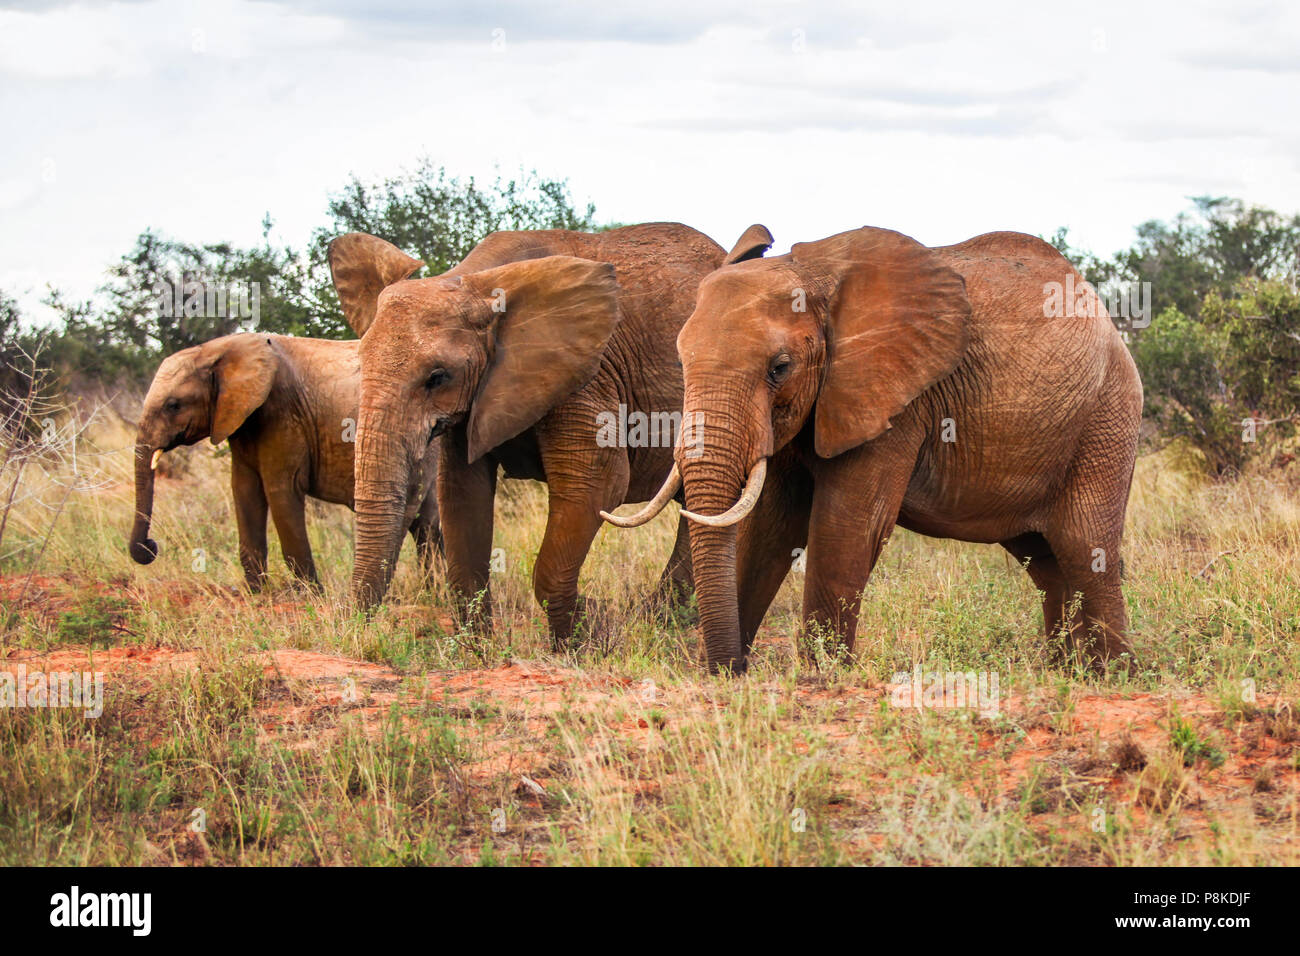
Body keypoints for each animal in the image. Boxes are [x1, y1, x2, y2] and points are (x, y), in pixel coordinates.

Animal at [129, 331, 441, 591]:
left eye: (173, 405)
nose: (150, 547)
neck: (218, 349)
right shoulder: (244, 423)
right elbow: (244, 490)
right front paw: (258, 595)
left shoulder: (283, 416)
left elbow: (281, 492)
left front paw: (312, 597)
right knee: (426, 520)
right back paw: (435, 592)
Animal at [330, 221, 773, 645]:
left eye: (437, 377)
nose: (356, 627)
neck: (473, 280)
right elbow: (461, 495)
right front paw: (479, 649)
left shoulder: (586, 372)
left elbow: (598, 484)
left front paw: (585, 638)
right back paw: (659, 620)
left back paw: (656, 622)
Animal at [605, 226, 1143, 674]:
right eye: (680, 360)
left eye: (779, 368)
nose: (727, 668)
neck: (812, 275)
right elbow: (771, 526)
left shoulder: (894, 401)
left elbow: (845, 524)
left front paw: (821, 676)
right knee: (1046, 563)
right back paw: (1065, 673)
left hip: (1106, 421)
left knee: (1084, 549)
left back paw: (1113, 677)